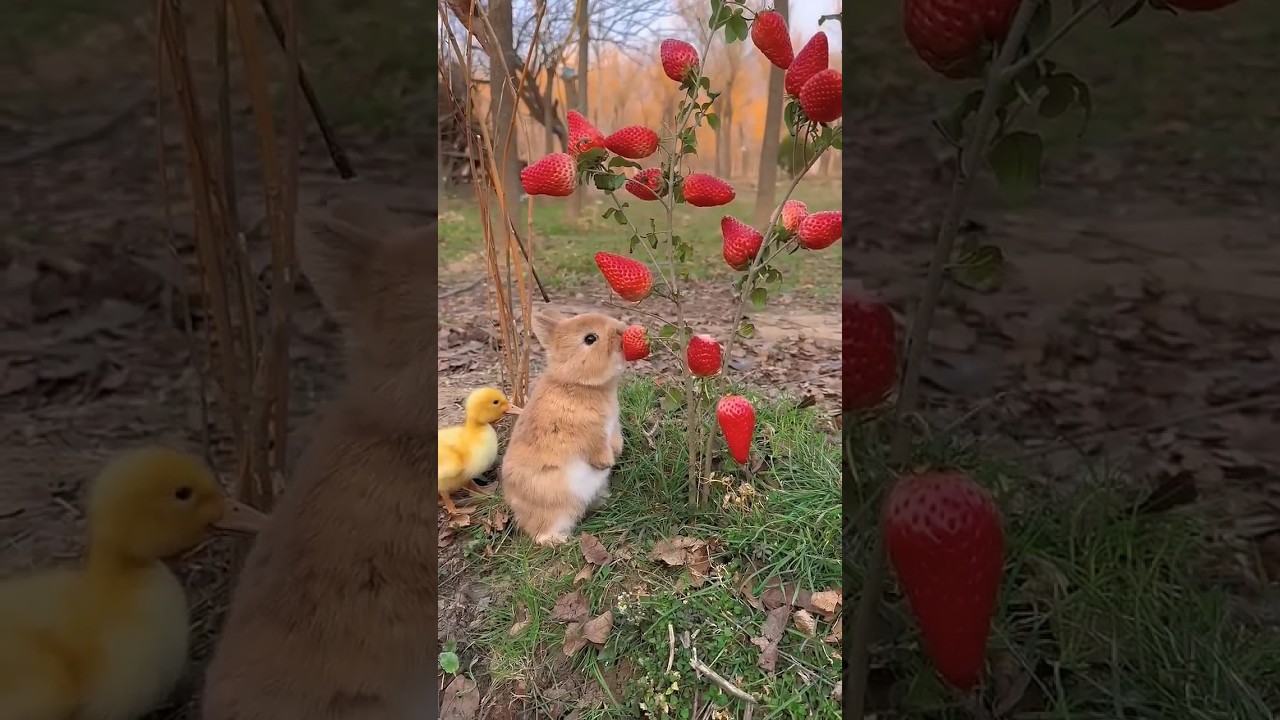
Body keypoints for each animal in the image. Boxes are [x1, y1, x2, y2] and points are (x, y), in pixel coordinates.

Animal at [500, 309, 628, 546]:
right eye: (590, 339)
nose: (622, 331)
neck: (577, 382)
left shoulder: (613, 425)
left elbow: (615, 439)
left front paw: (617, 452)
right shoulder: (589, 433)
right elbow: (597, 448)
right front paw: (607, 462)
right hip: (554, 506)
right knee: (541, 531)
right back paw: (558, 540)